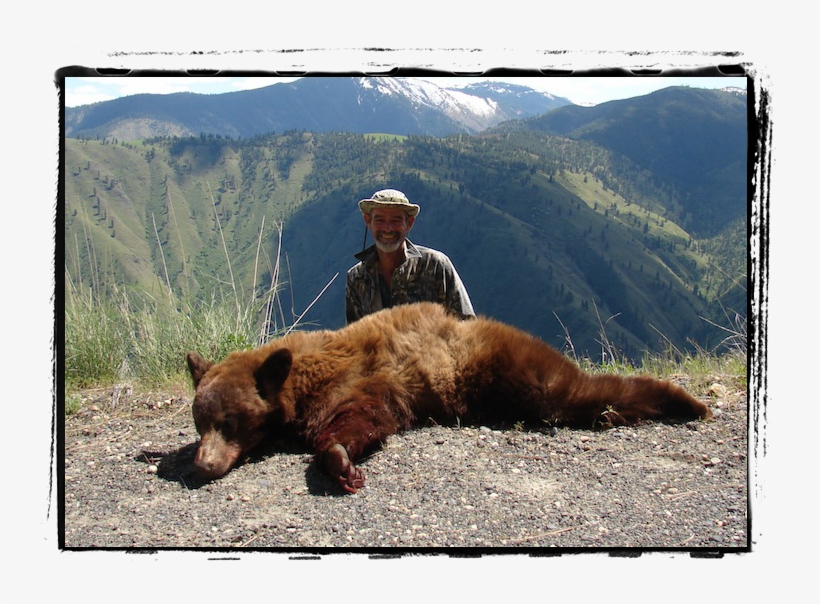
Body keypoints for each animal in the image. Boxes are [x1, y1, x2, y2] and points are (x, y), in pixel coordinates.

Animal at [186, 302, 711, 493]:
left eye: (229, 421)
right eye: (201, 422)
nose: (203, 466)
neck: (302, 377)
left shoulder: (364, 376)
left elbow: (358, 417)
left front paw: (341, 462)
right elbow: (370, 418)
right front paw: (344, 463)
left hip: (505, 362)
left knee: (574, 392)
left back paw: (686, 401)